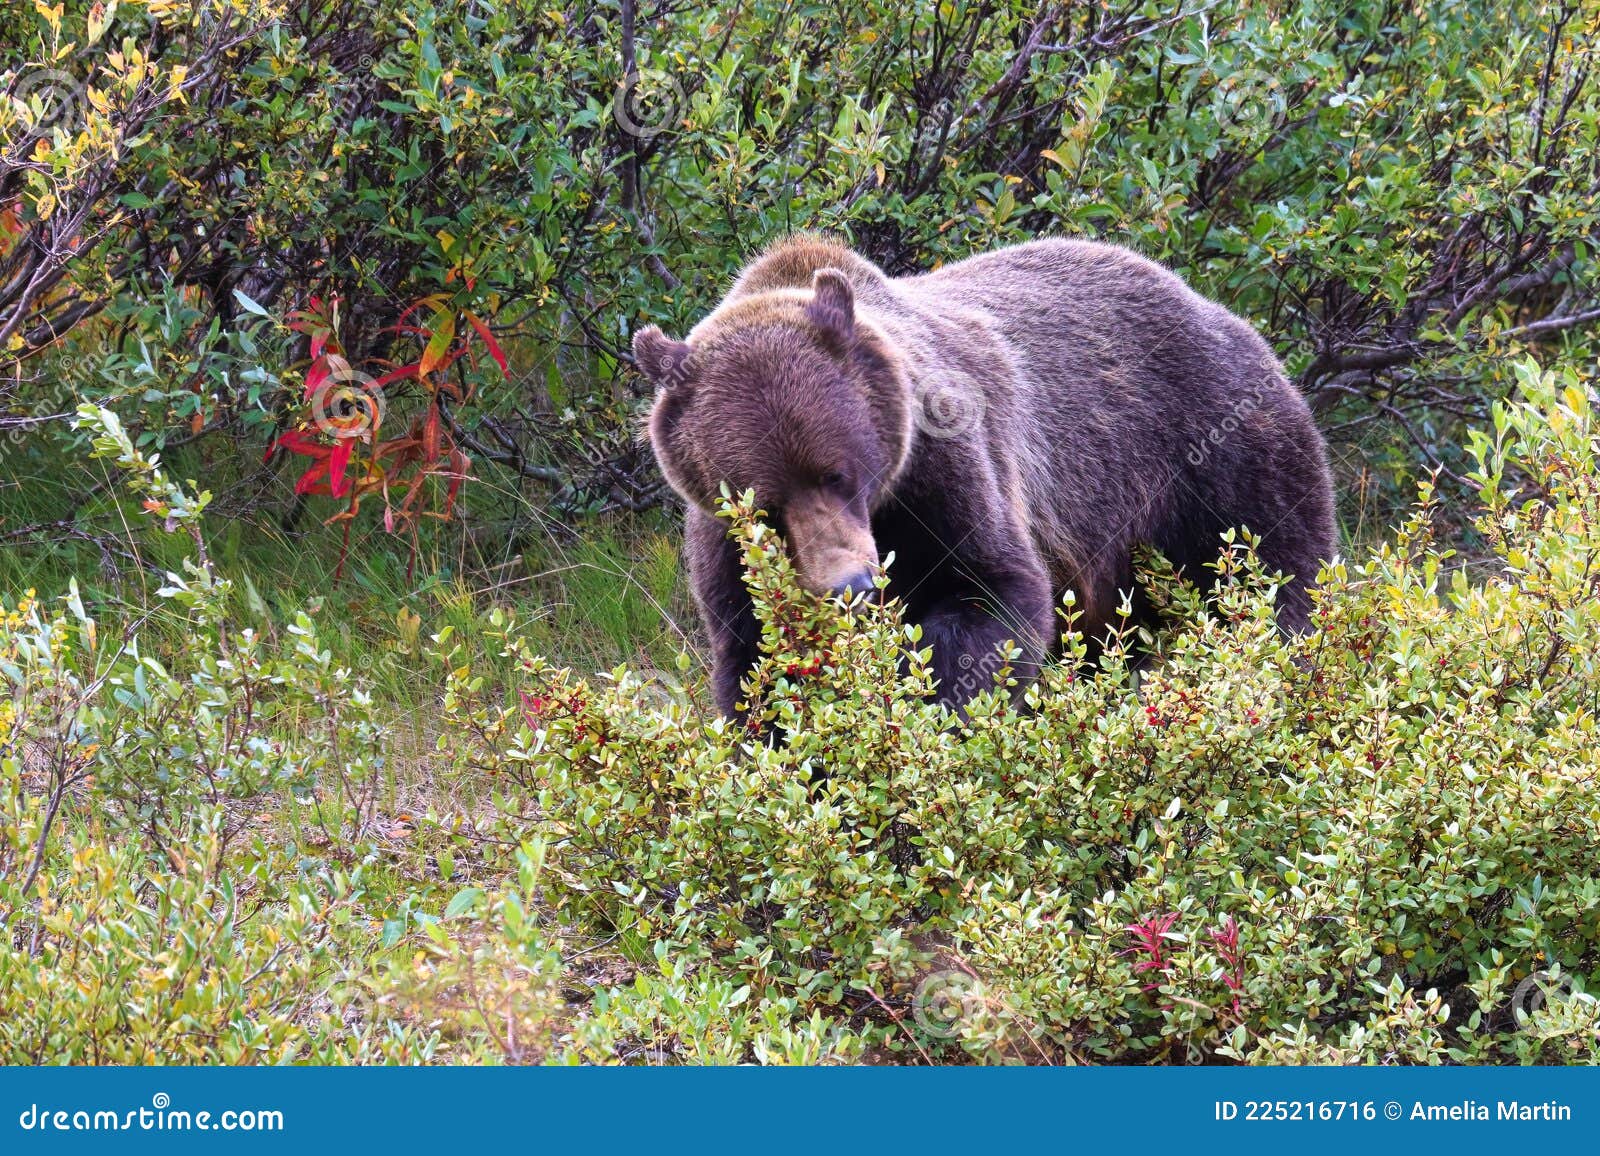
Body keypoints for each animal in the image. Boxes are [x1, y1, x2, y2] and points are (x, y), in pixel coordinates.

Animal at [634, 234, 1336, 718]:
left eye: (840, 475)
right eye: (765, 506)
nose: (850, 586)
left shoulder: (946, 462)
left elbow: (990, 591)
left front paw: (938, 711)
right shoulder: (722, 544)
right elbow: (753, 657)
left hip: (1214, 453)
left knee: (1278, 568)